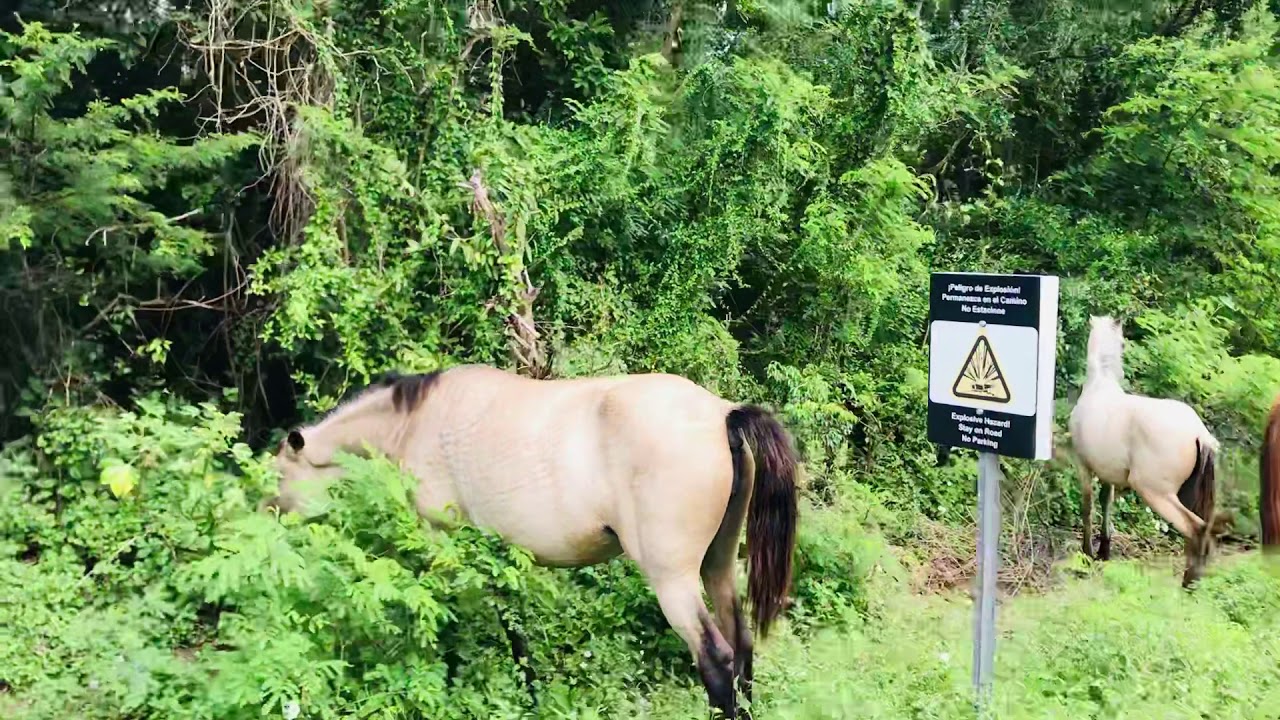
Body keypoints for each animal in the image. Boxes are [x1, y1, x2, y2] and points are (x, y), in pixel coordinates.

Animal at [264, 364, 799, 719]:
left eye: (279, 477)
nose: (270, 516)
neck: (415, 422)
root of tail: (722, 414)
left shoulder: (441, 539)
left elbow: (445, 619)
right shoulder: (496, 552)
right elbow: (513, 629)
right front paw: (530, 694)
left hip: (673, 578)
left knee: (716, 658)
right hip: (717, 564)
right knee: (742, 645)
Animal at [1068, 316, 1222, 588]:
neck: (1100, 385)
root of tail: (1199, 433)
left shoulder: (1083, 465)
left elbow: (1087, 508)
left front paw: (1087, 554)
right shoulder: (1108, 473)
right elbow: (1106, 503)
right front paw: (1103, 552)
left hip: (1155, 492)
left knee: (1195, 528)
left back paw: (1188, 583)